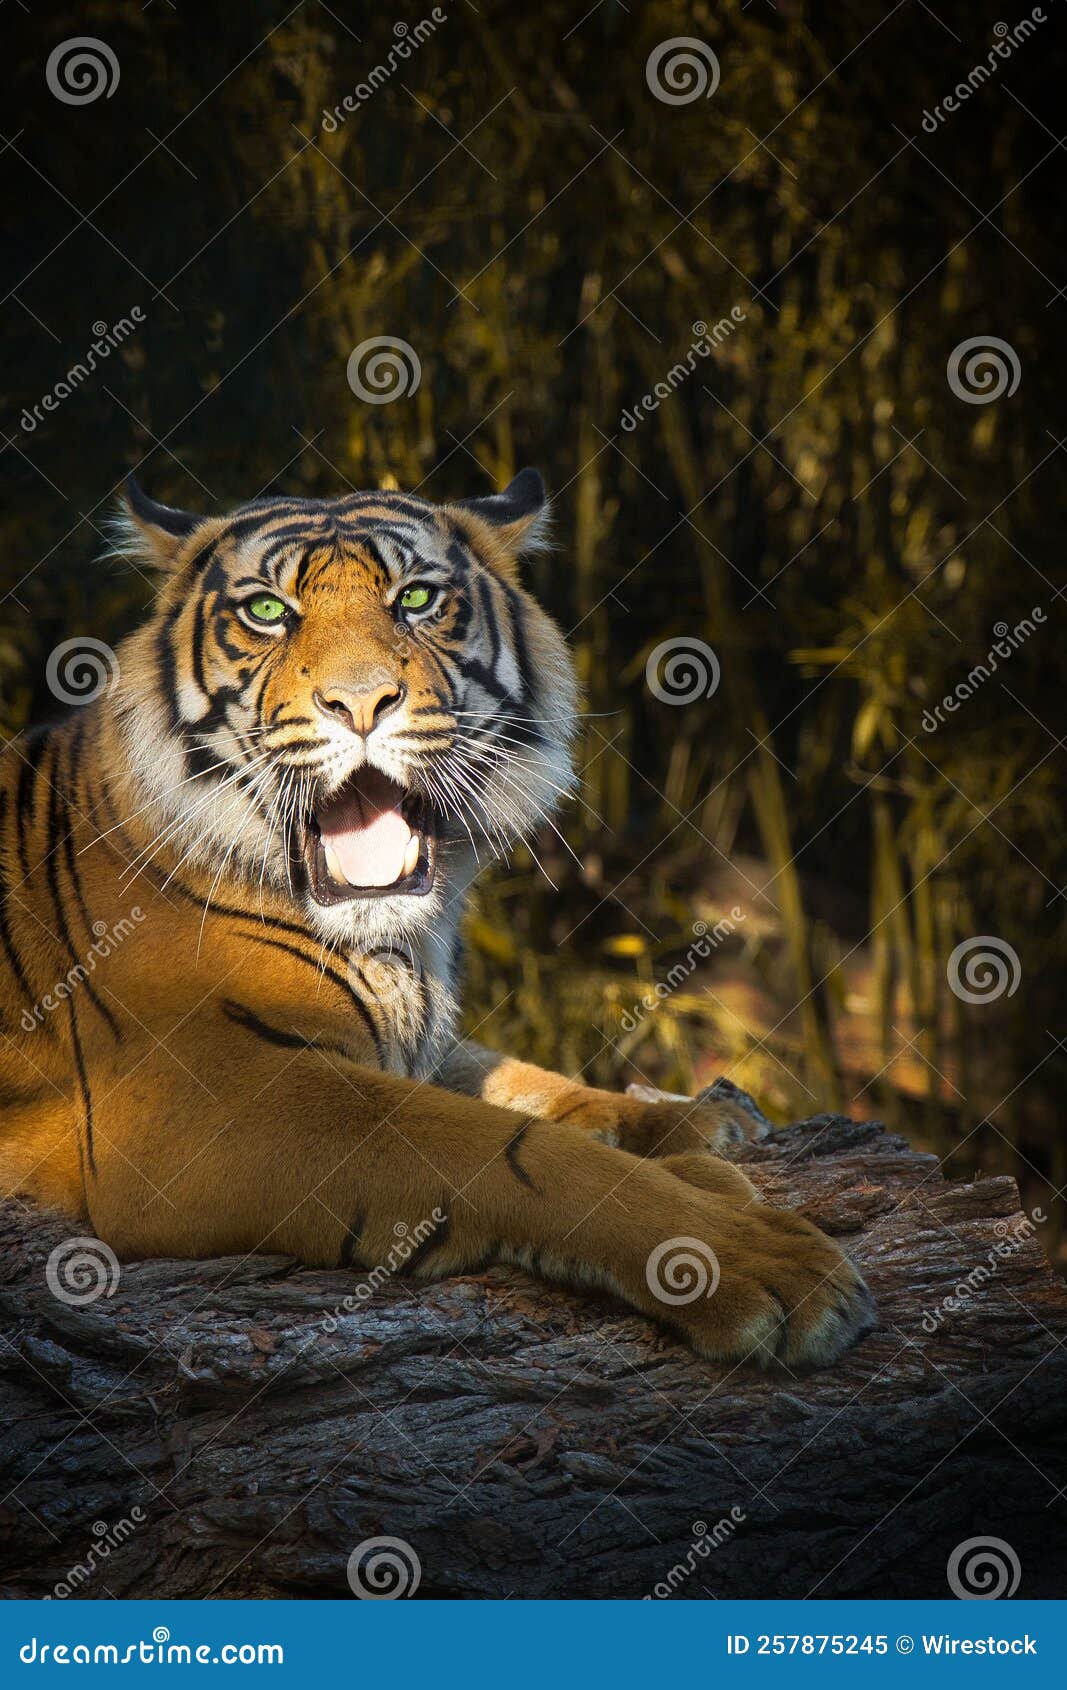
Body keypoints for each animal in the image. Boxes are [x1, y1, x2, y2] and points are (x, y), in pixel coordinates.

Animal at [0, 468, 874, 1367]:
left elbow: (526, 1081)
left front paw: (695, 1125)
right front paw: (746, 1251)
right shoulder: (194, 1107)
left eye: (416, 598)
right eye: (268, 610)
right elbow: (504, 1148)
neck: (400, 939)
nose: (359, 702)